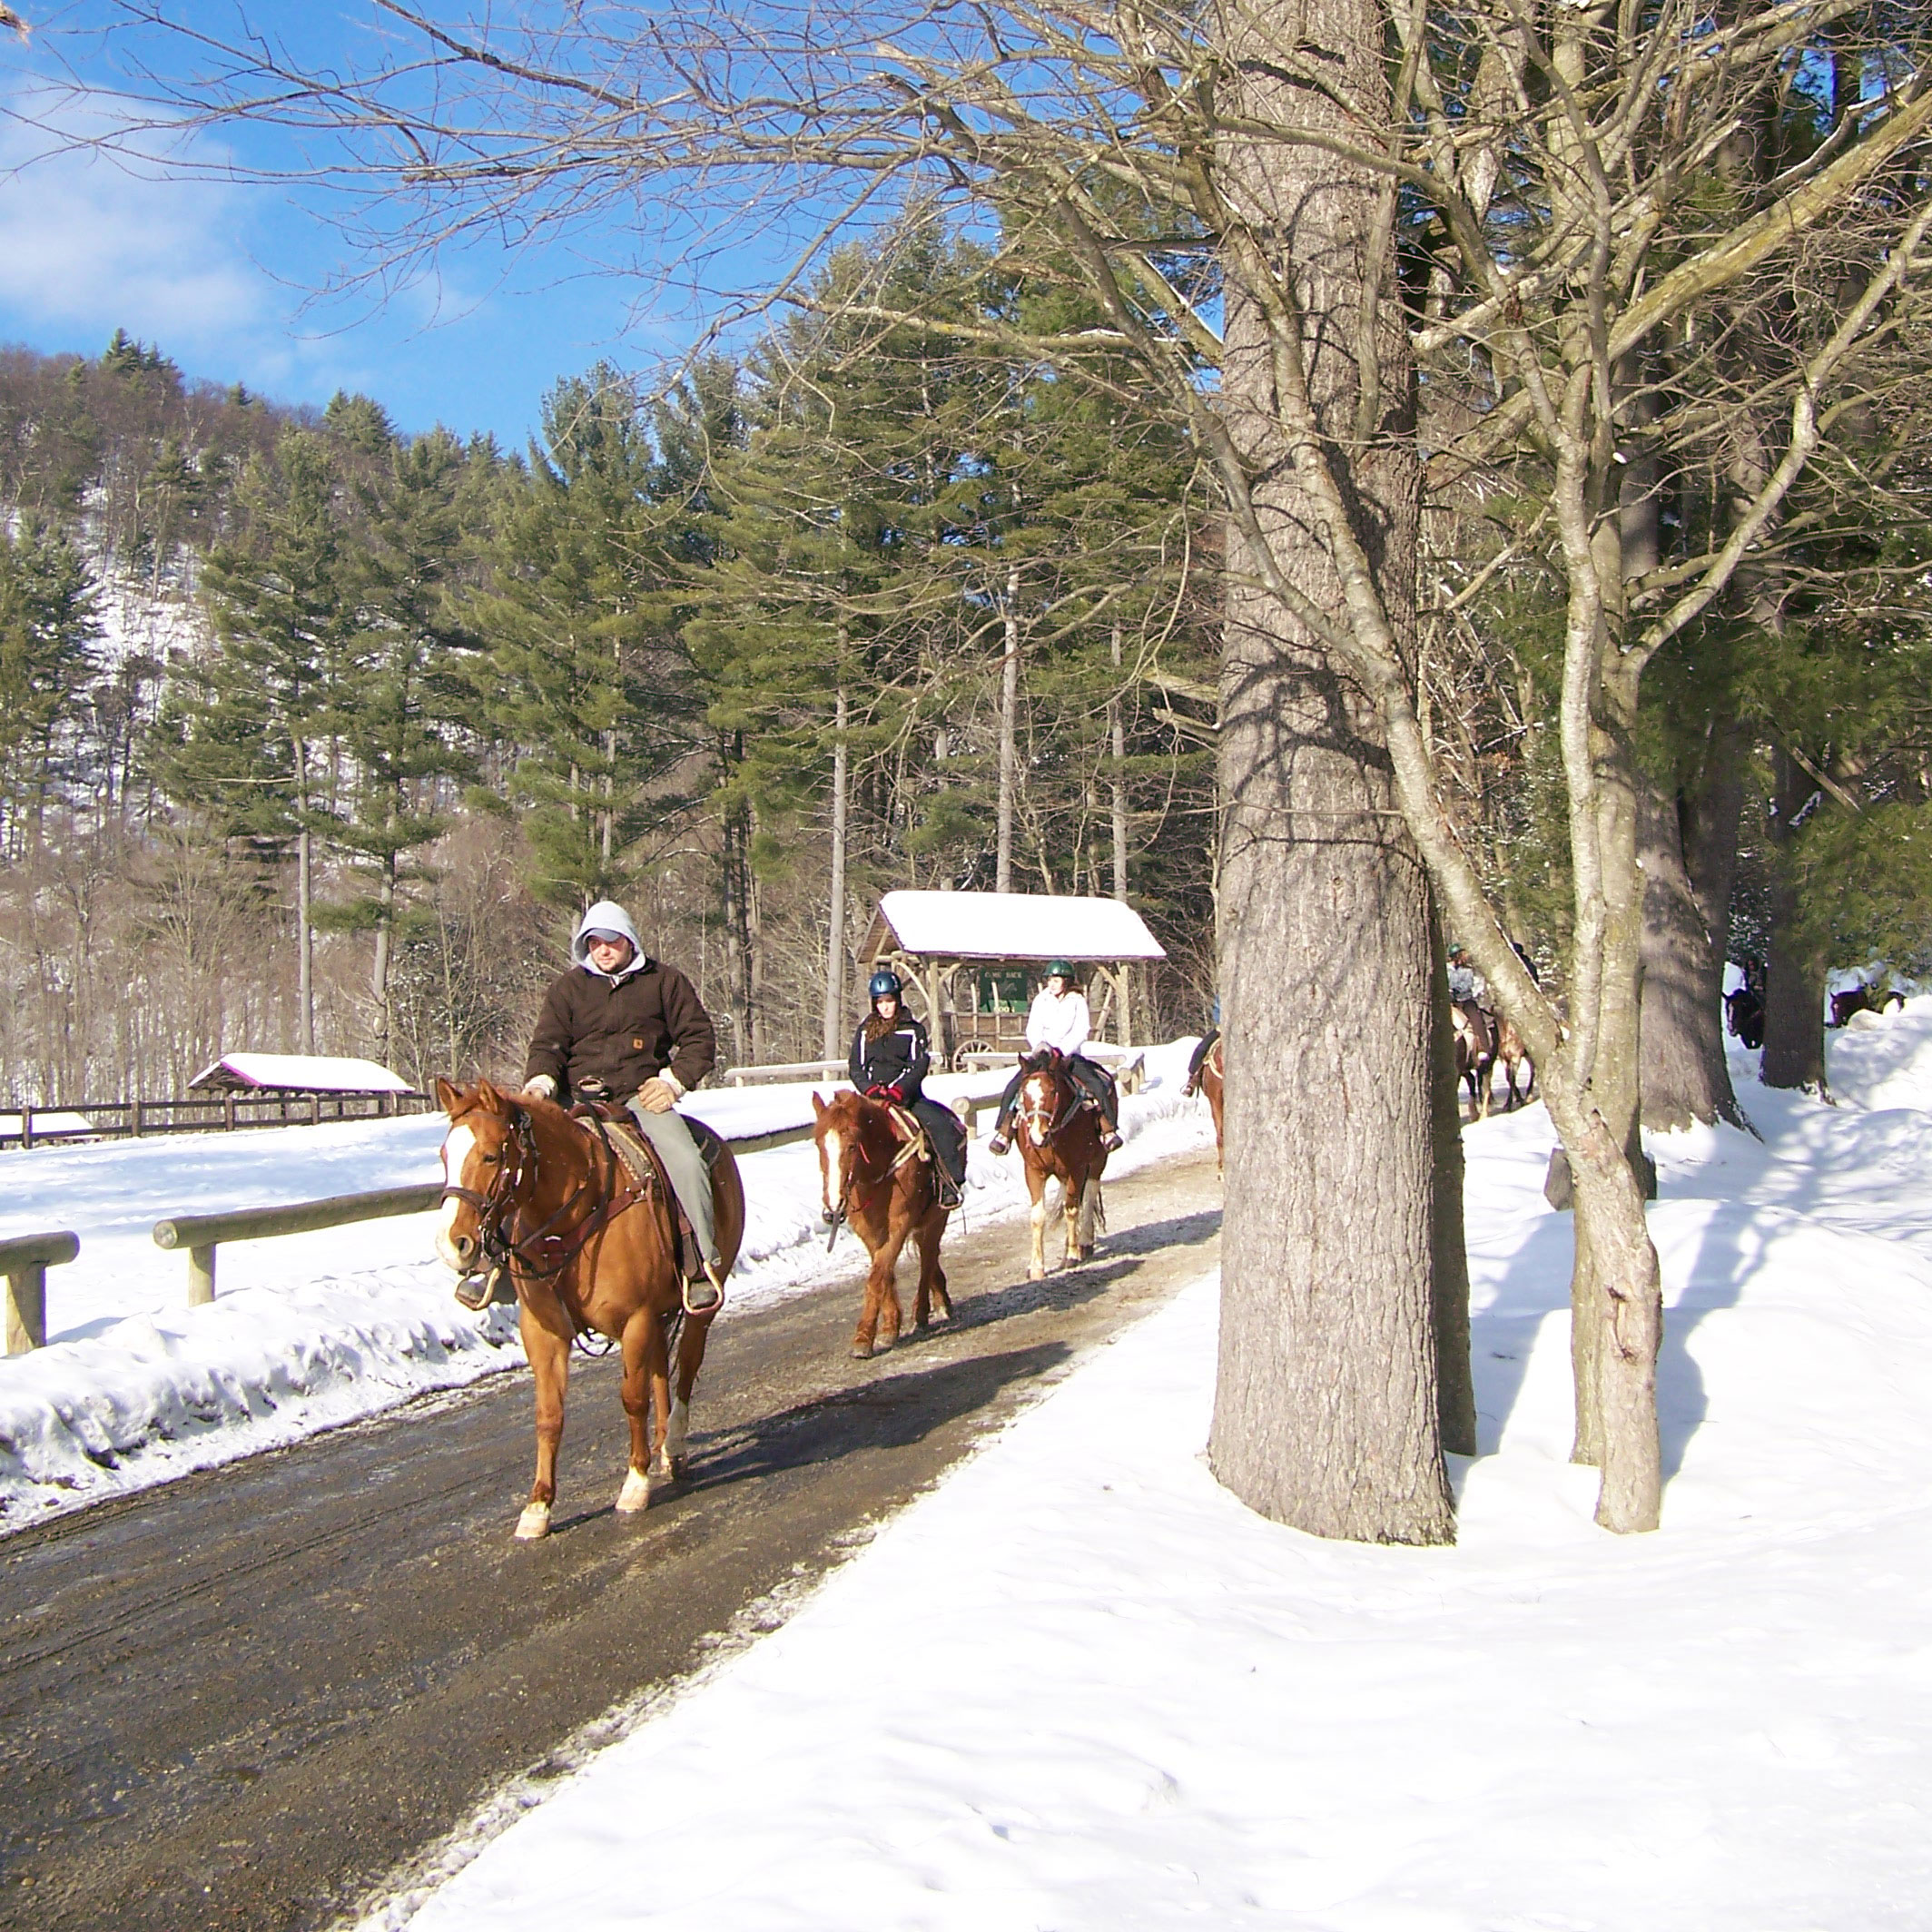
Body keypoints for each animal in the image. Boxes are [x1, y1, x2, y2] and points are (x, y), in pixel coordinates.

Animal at [434, 1078, 745, 1542]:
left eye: (491, 1155)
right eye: (444, 1156)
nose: (453, 1245)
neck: (572, 1220)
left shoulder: (635, 1320)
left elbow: (632, 1398)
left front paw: (635, 1484)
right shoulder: (544, 1333)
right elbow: (549, 1415)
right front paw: (538, 1506)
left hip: (698, 1311)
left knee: (687, 1367)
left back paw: (673, 1446)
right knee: (660, 1371)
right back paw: (662, 1446)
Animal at [812, 1089, 954, 1359]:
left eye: (852, 1145)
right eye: (819, 1144)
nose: (834, 1203)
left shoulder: (900, 1222)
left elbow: (878, 1276)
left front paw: (863, 1338)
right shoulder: (869, 1230)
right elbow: (883, 1271)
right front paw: (890, 1325)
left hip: (936, 1219)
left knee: (928, 1258)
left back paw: (924, 1311)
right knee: (928, 1257)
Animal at [1012, 1049, 1108, 1279]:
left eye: (1052, 1090)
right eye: (1024, 1093)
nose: (1038, 1135)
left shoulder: (1078, 1167)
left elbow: (1072, 1209)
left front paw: (1072, 1255)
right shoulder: (1034, 1170)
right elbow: (1038, 1216)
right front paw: (1036, 1266)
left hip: (1097, 1161)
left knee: (1088, 1196)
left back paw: (1084, 1243)